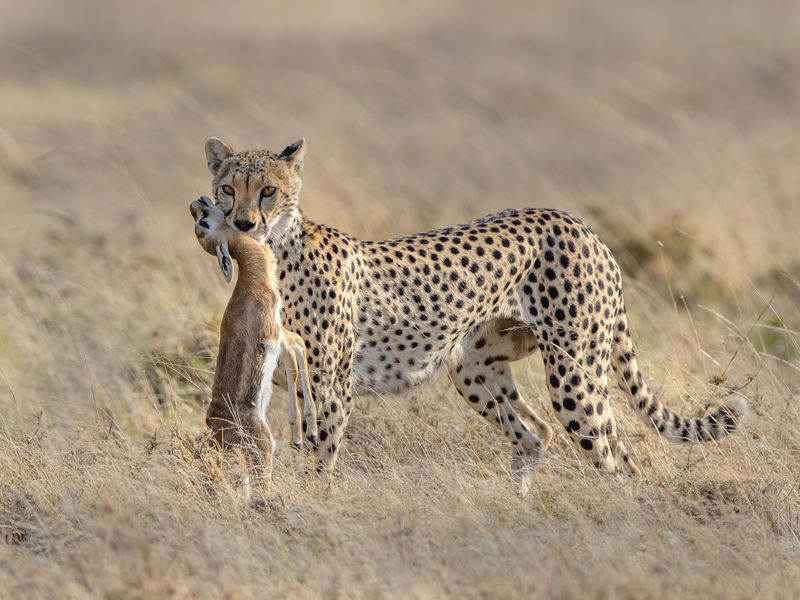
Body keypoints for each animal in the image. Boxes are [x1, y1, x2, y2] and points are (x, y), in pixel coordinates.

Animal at [199, 135, 747, 486]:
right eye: (228, 188)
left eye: (268, 189)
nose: (243, 224)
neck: (275, 250)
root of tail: (580, 225)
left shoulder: (331, 384)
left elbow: (321, 457)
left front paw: (313, 507)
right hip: (475, 368)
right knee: (535, 435)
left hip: (576, 374)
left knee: (616, 461)